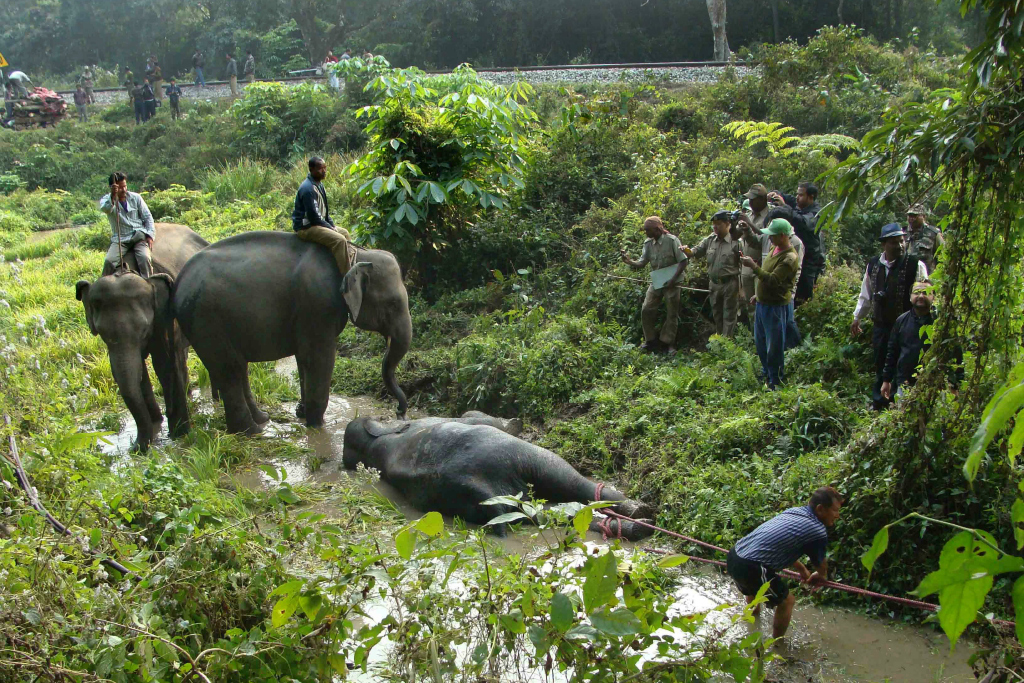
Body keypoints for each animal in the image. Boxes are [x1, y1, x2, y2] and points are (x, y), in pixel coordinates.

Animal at [75, 223, 209, 452]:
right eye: (101, 332)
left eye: (145, 328)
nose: (135, 448)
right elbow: (135, 369)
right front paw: (157, 424)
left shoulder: (165, 315)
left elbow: (163, 363)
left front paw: (179, 433)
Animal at [170, 231, 412, 436]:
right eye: (393, 304)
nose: (400, 413)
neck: (357, 254)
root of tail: (178, 282)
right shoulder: (318, 305)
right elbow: (319, 358)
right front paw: (317, 425)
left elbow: (303, 358)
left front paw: (302, 413)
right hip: (205, 320)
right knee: (228, 369)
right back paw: (251, 432)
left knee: (238, 367)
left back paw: (262, 419)